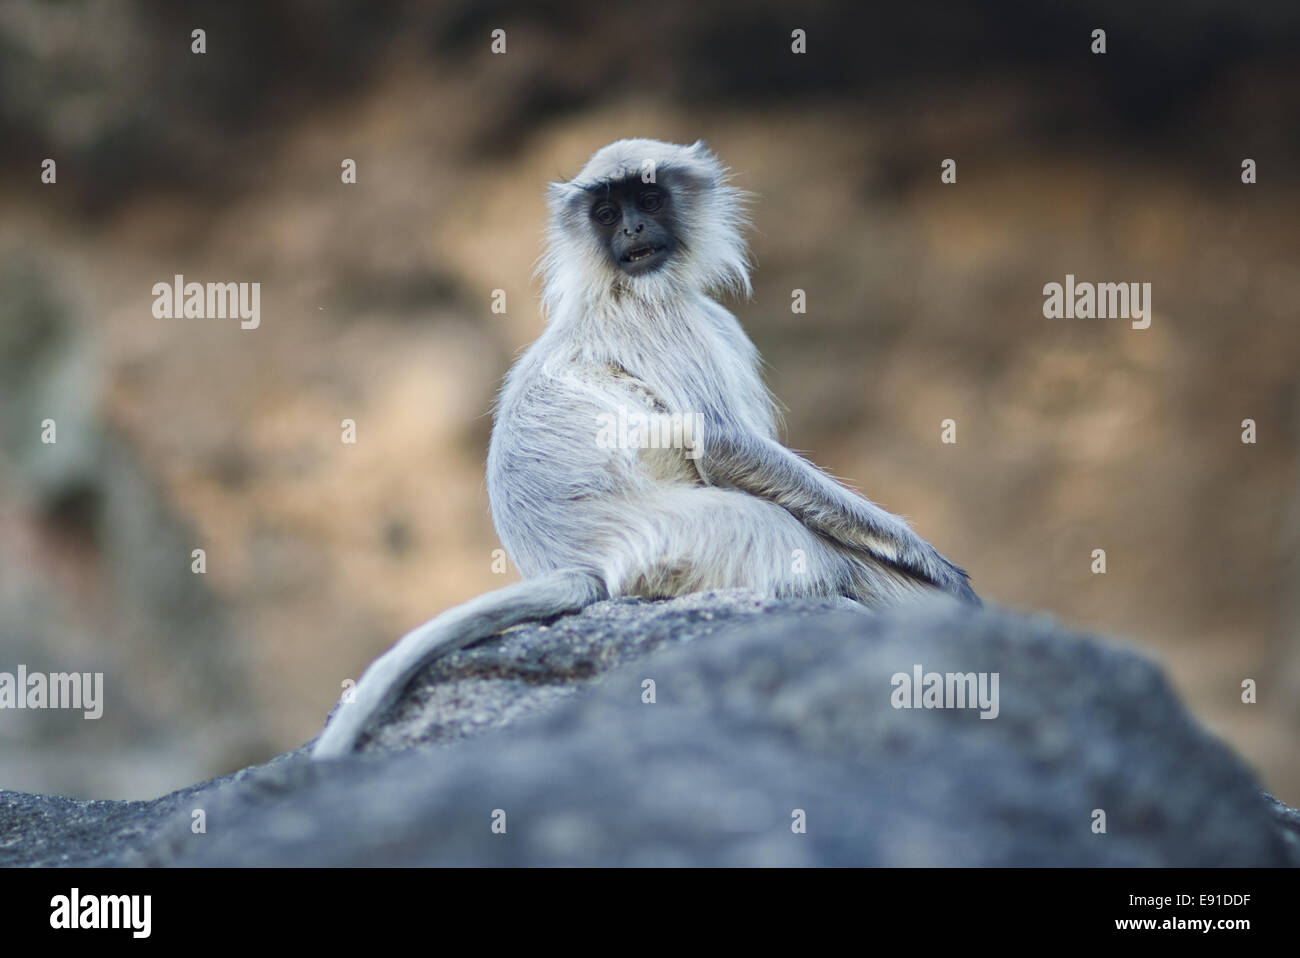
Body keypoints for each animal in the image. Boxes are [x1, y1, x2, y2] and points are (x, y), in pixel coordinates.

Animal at [311, 138, 977, 759]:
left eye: (649, 200)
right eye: (608, 212)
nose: (631, 229)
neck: (621, 287)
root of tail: (579, 564)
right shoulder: (657, 317)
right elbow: (725, 444)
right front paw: (934, 565)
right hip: (698, 538)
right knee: (827, 561)